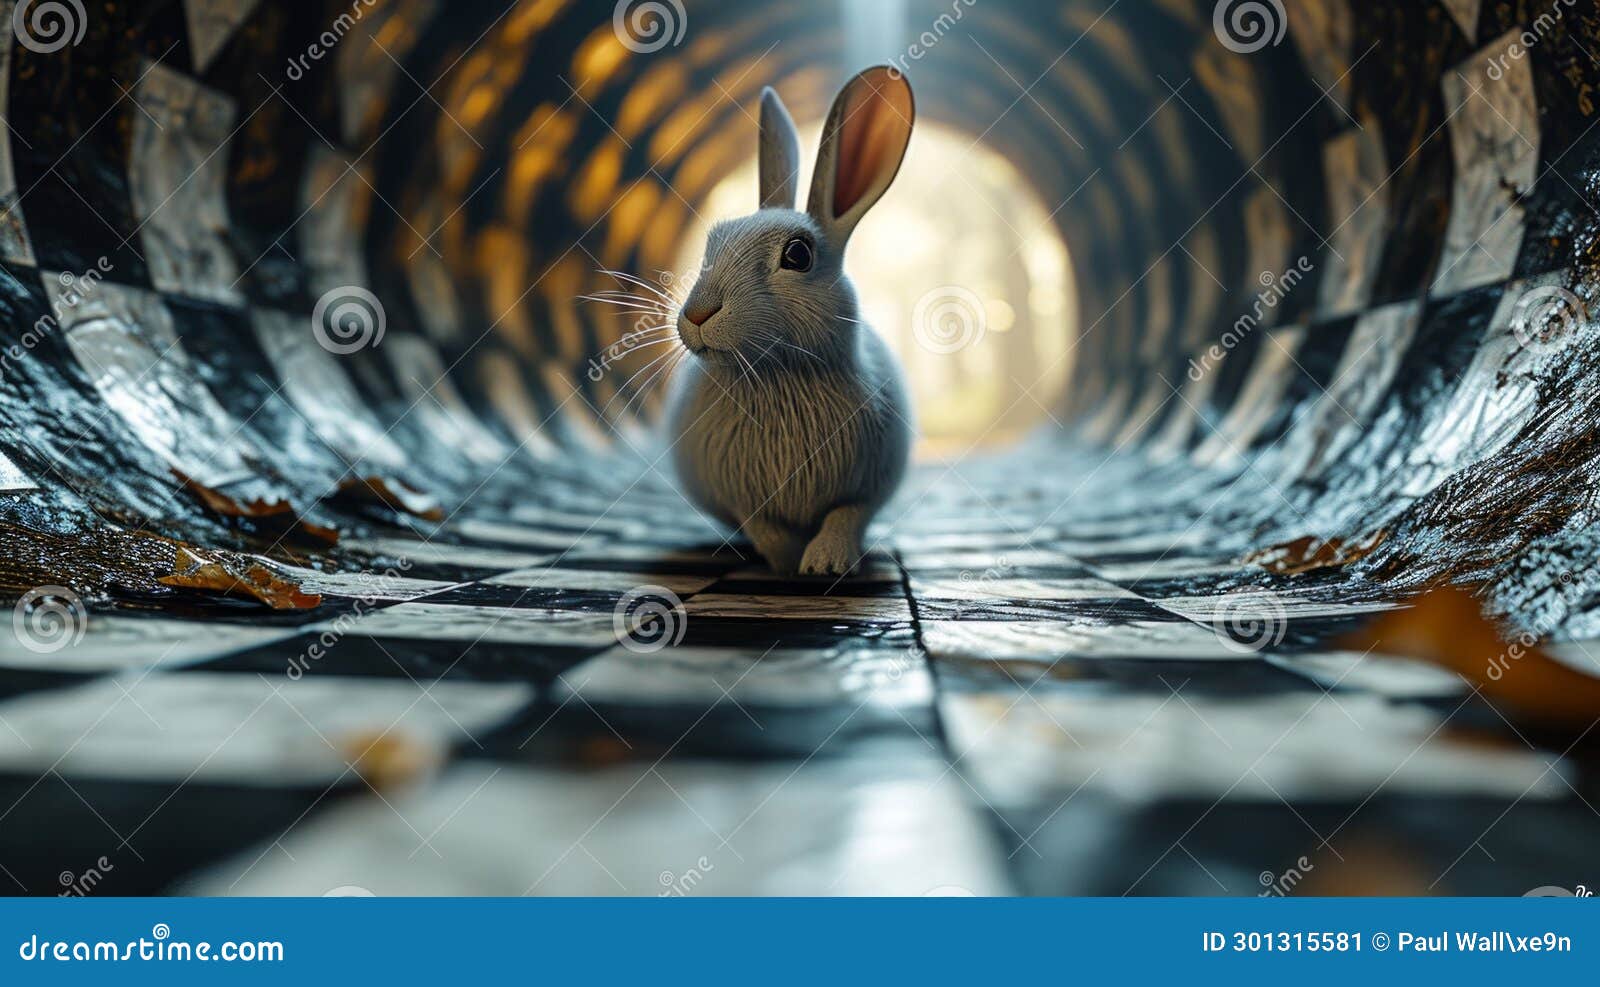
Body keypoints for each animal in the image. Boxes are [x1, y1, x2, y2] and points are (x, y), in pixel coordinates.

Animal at [665, 67, 916, 576]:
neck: (776, 374)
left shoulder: (864, 488)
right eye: (713, 241)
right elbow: (765, 528)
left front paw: (826, 564)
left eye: (798, 255)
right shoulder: (743, 499)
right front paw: (785, 563)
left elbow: (845, 516)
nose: (697, 313)